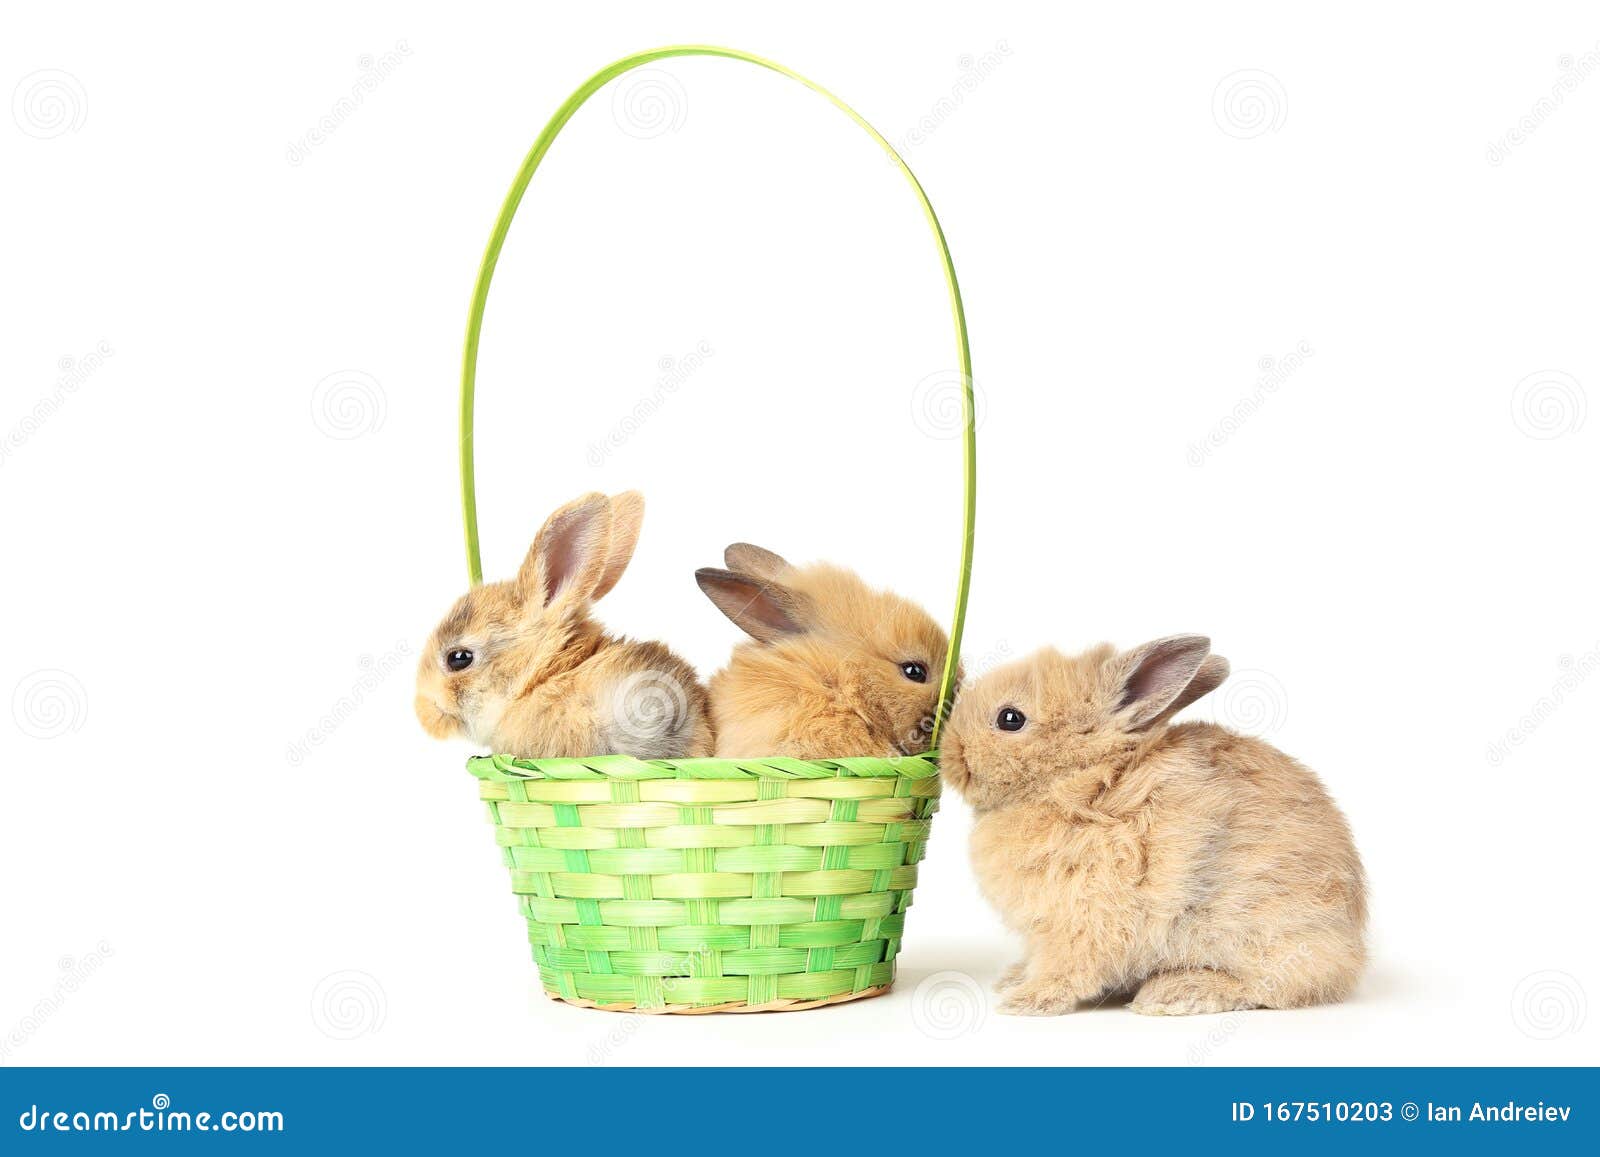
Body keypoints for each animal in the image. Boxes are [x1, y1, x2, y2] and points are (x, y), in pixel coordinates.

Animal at [941, 634, 1367, 1016]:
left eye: (1010, 718)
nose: (948, 750)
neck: (1079, 781)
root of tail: (1354, 947)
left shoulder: (1083, 920)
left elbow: (1068, 968)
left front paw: (1026, 1001)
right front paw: (1014, 979)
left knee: (1271, 987)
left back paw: (1176, 993)